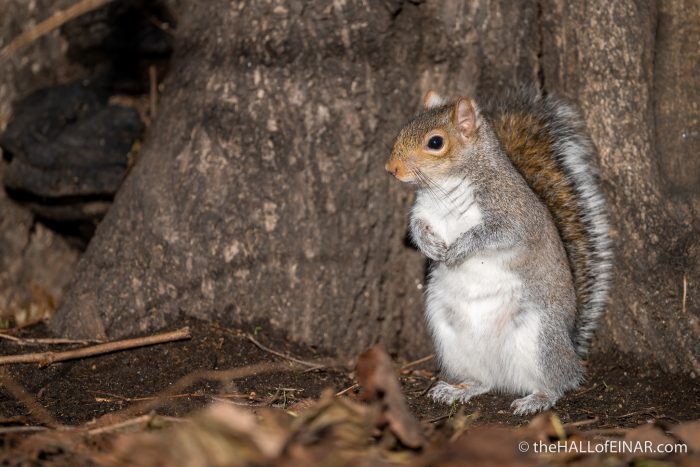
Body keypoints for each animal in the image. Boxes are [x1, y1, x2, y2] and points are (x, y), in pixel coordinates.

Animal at [385, 88, 612, 415]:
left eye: (435, 142)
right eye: (404, 127)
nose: (391, 168)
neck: (446, 188)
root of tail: (569, 344)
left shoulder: (511, 214)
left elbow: (493, 235)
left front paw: (458, 250)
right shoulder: (423, 211)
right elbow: (416, 230)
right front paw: (432, 247)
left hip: (538, 338)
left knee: (560, 382)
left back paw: (538, 398)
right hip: (451, 340)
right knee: (484, 381)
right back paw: (456, 389)